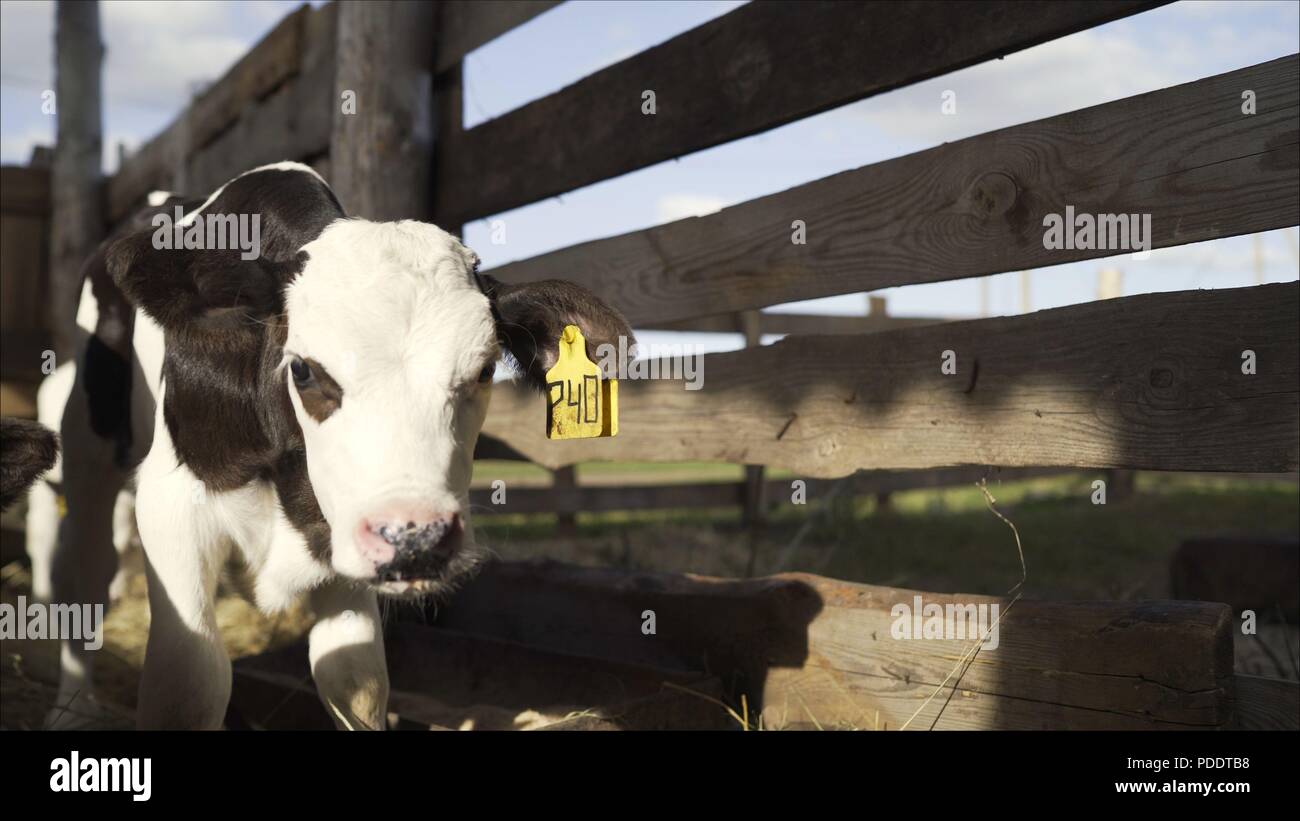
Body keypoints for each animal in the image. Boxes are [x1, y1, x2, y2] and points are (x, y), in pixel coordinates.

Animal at [50, 161, 632, 729]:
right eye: (304, 370)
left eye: (486, 369)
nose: (415, 537)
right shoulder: (171, 506)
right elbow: (191, 681)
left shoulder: (344, 534)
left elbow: (356, 680)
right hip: (85, 453)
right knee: (83, 576)